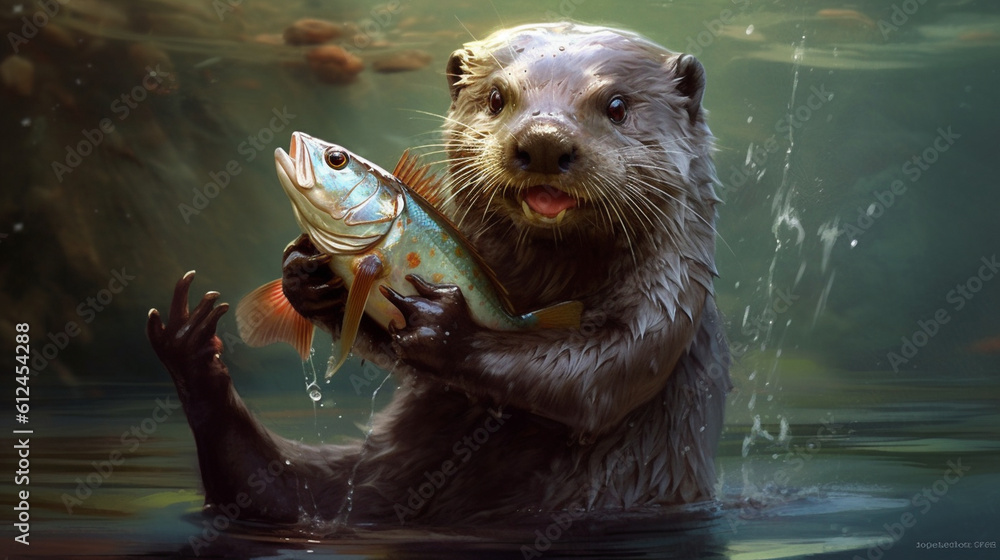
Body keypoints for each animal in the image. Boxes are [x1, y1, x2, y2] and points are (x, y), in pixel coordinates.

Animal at [147, 22, 730, 528]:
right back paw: (189, 344)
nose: (544, 139)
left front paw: (446, 330)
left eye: (617, 106)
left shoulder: (670, 296)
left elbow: (603, 377)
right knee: (268, 485)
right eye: (496, 98)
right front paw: (303, 275)